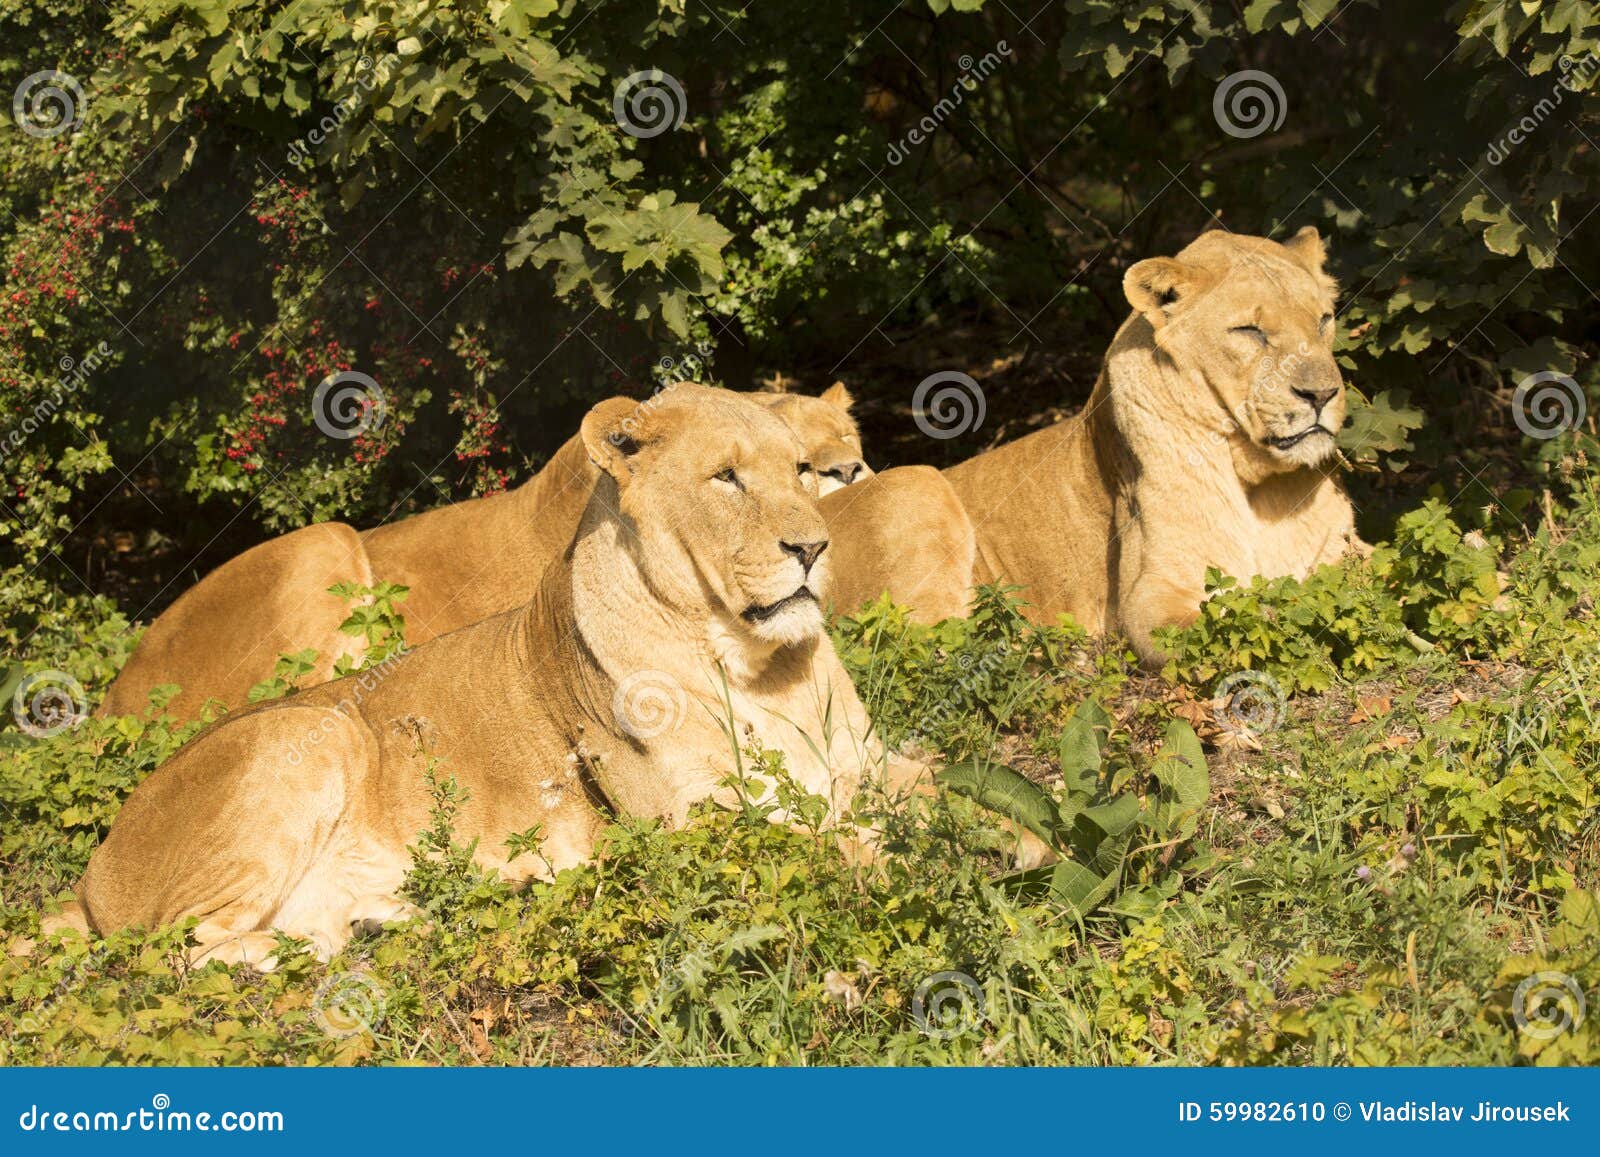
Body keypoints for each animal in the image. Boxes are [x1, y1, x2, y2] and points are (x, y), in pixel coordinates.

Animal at [822, 228, 1363, 660]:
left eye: (1323, 320)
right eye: (1250, 330)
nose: (1321, 394)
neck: (1259, 484)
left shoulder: (1346, 555)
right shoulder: (1152, 594)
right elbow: (1219, 629)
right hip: (915, 486)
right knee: (918, 645)